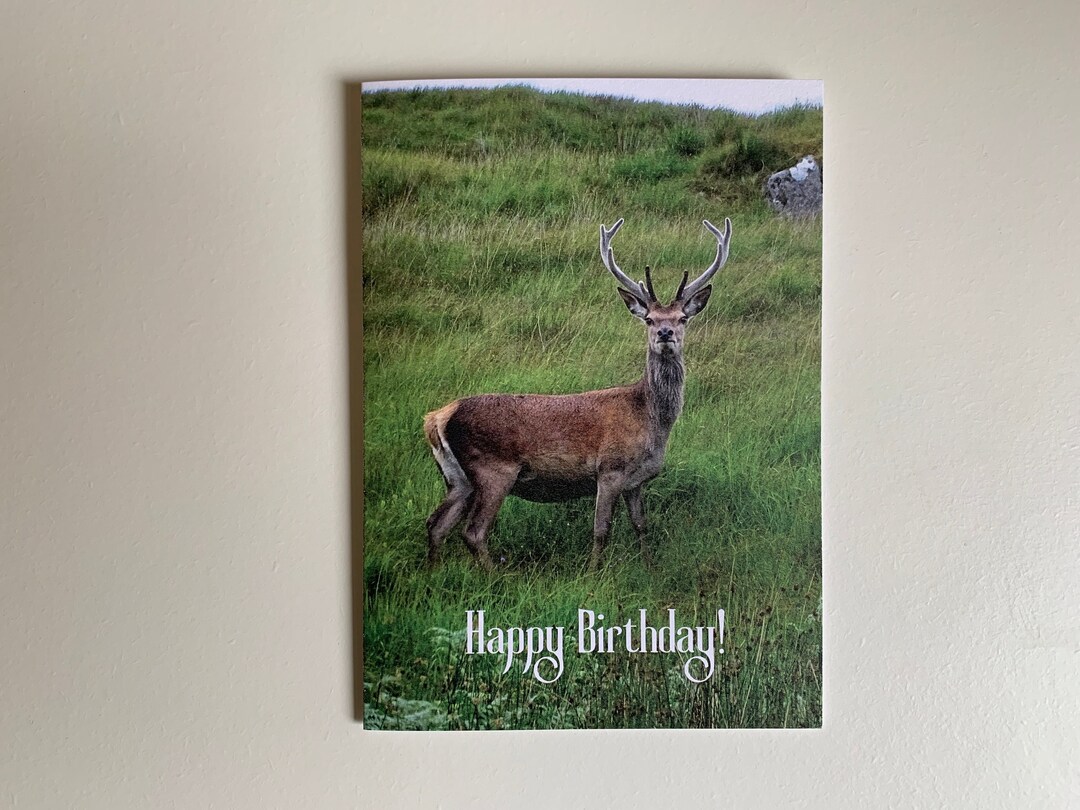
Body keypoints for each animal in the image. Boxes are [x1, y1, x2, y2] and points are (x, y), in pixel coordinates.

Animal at [423, 217, 732, 571]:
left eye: (682, 318)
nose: (665, 333)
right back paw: (498, 576)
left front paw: (650, 568)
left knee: (435, 524)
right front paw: (594, 573)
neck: (649, 417)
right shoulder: (610, 469)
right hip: (492, 469)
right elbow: (601, 529)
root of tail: (436, 418)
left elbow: (641, 525)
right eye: (649, 319)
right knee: (473, 532)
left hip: (457, 478)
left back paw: (432, 573)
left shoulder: (637, 481)